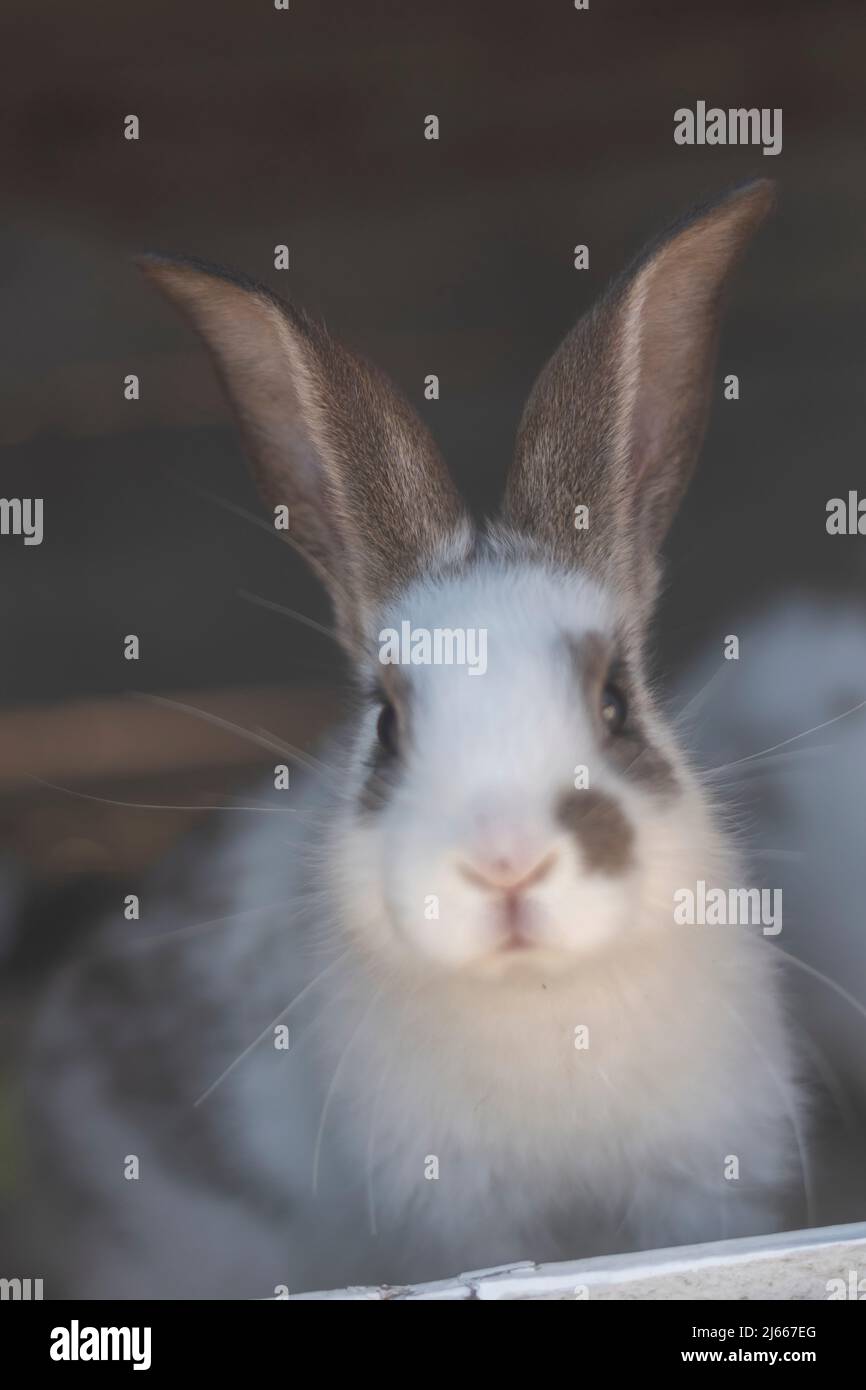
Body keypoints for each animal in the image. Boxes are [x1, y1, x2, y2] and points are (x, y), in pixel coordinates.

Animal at [17, 178, 805, 1298]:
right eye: (386, 723)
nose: (505, 864)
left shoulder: (706, 1186)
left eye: (615, 700)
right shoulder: (452, 1216)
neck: (541, 993)